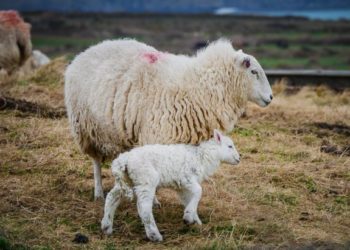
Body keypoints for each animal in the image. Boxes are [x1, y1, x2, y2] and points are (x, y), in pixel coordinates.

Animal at [64, 38, 274, 199]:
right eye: (254, 71)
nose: (271, 98)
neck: (200, 86)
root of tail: (85, 52)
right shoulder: (157, 136)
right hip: (86, 129)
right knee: (96, 162)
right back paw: (98, 192)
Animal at [100, 130, 239, 241]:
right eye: (230, 146)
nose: (239, 158)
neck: (202, 157)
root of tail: (123, 160)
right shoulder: (186, 178)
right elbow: (199, 191)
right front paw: (188, 217)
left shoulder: (181, 187)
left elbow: (188, 199)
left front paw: (195, 221)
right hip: (146, 180)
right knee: (144, 208)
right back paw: (154, 236)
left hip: (127, 180)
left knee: (111, 197)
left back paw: (106, 226)